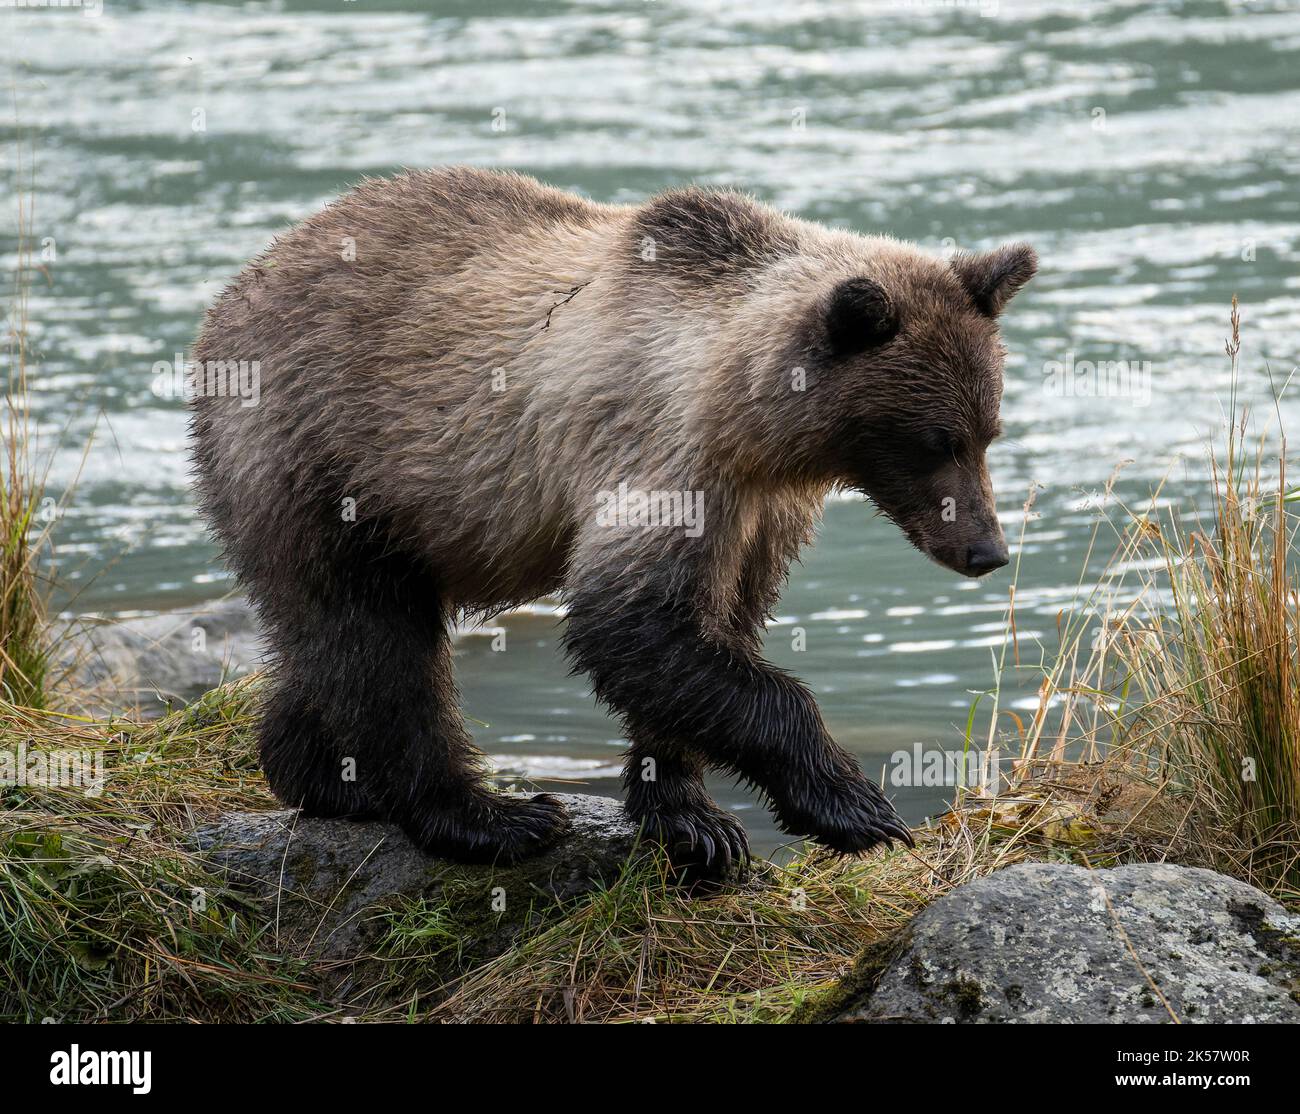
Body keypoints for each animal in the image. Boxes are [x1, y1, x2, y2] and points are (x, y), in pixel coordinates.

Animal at [189, 166, 1036, 874]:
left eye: (988, 431)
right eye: (935, 441)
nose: (987, 549)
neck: (756, 426)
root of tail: (232, 298)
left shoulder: (760, 513)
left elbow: (709, 632)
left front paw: (693, 820)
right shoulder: (662, 451)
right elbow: (631, 621)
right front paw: (856, 808)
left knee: (326, 642)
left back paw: (321, 774)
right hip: (324, 460)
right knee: (378, 642)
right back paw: (493, 816)